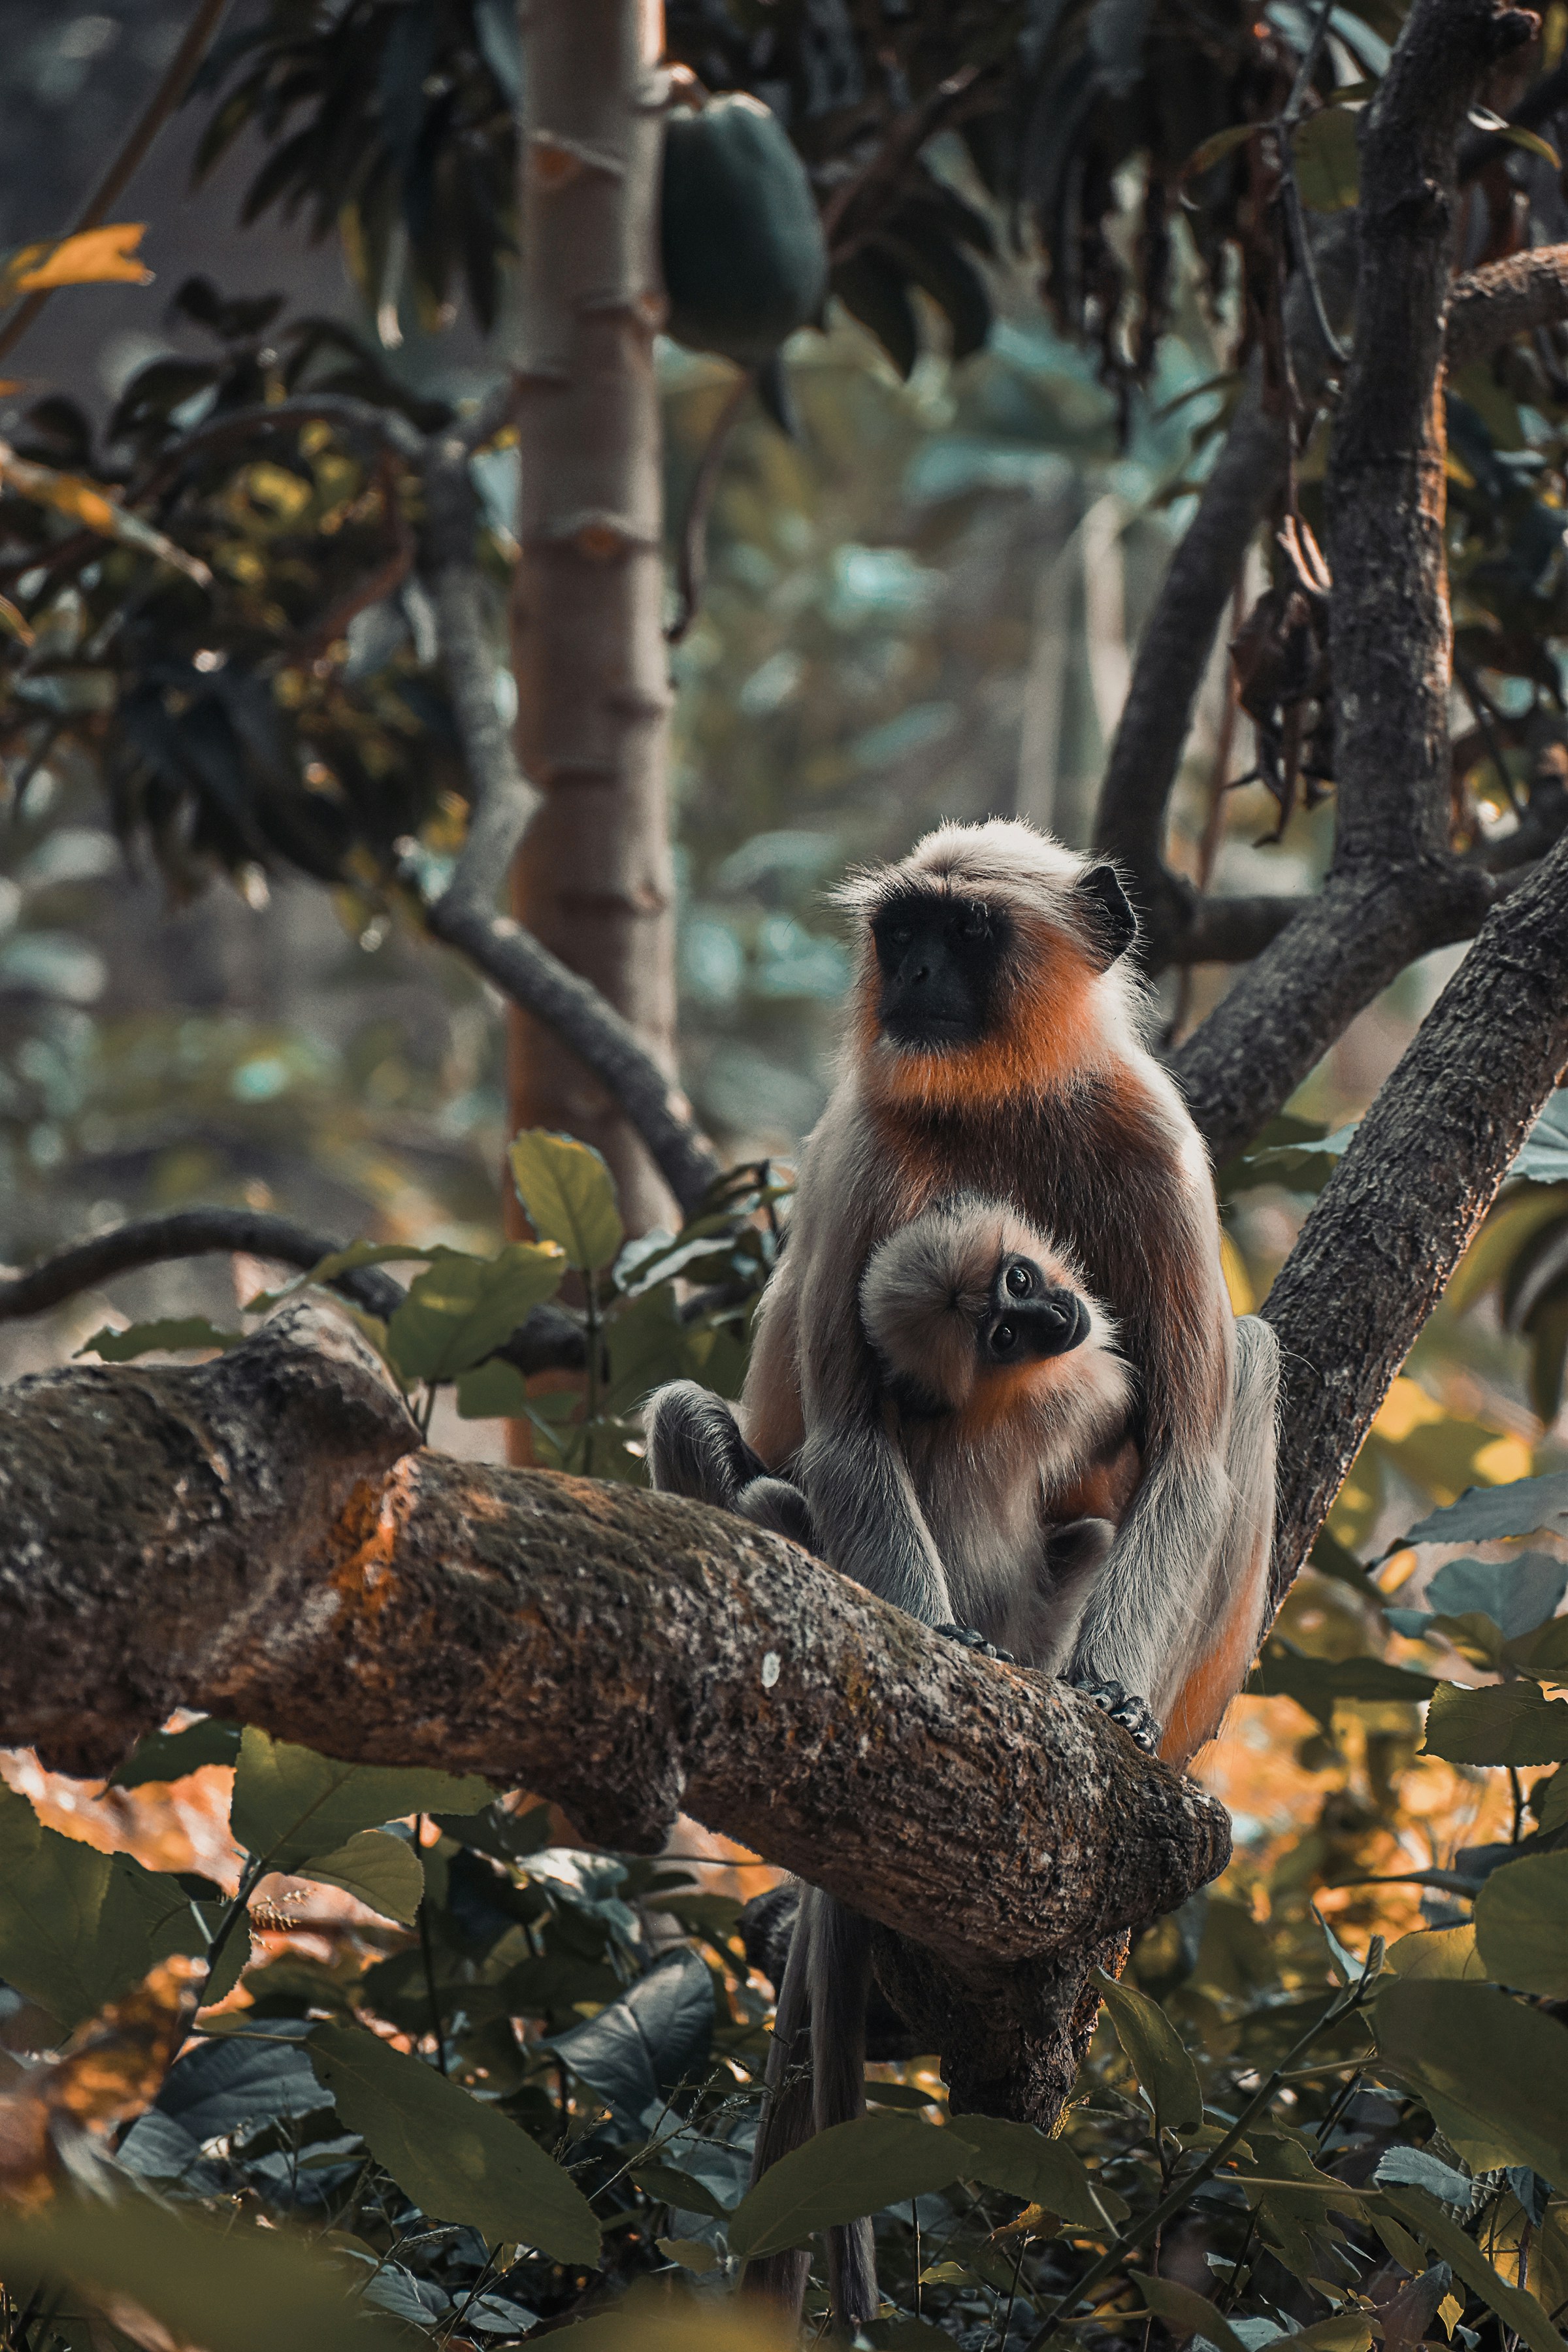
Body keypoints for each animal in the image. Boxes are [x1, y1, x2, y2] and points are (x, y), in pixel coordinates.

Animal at [646, 818, 1280, 2323]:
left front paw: (1110, 1706)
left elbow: (1189, 1448)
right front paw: (945, 1663)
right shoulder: (874, 1150)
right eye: (904, 933)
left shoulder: (1154, 1143)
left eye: (970, 934)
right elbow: (852, 1430)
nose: (922, 974)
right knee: (701, 1423)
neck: (1001, 1098)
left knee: (1252, 1365)